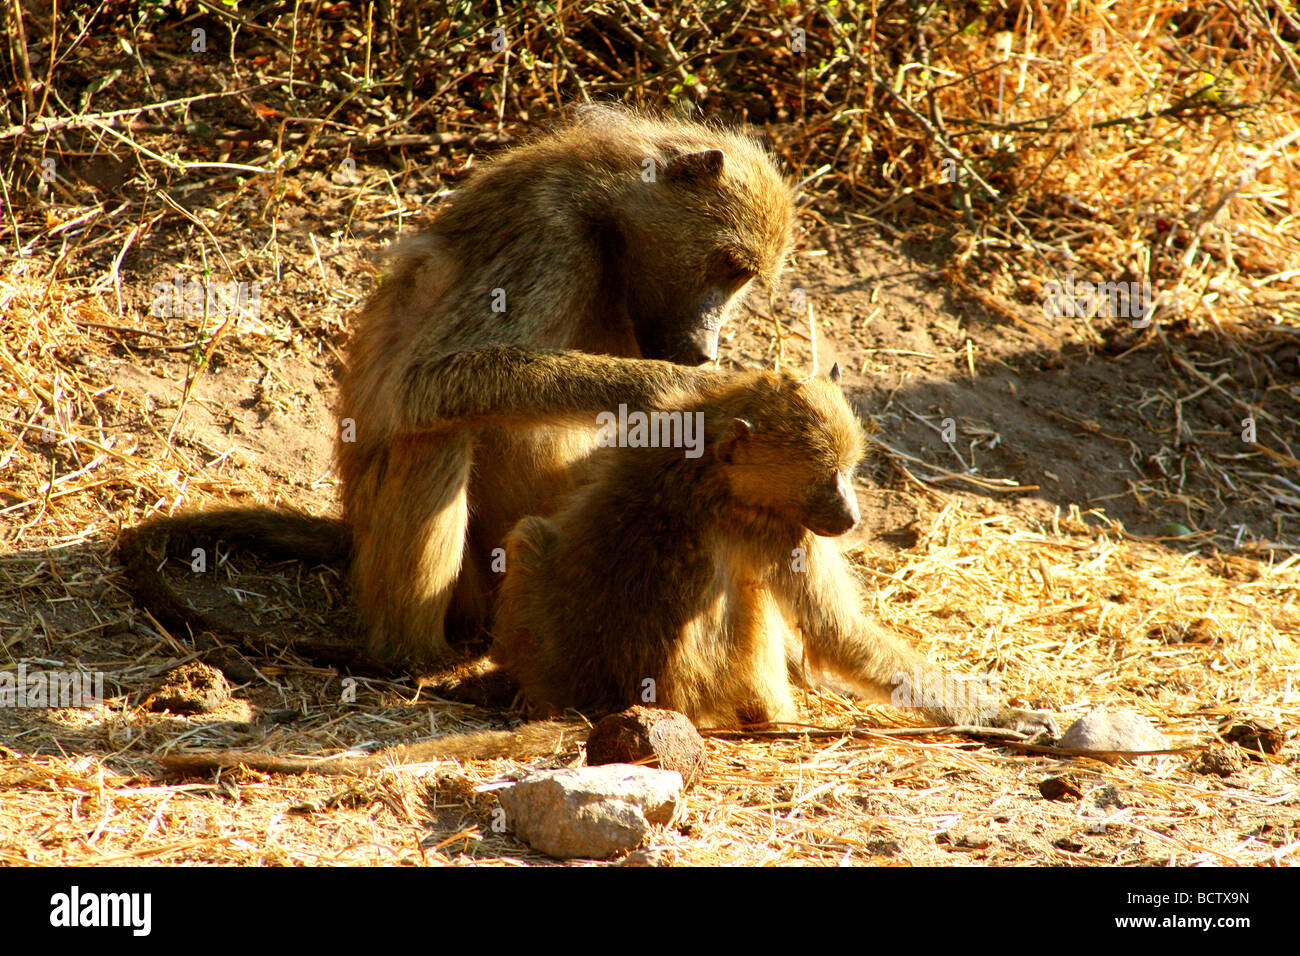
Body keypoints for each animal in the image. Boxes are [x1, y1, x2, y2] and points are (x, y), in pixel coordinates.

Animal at [119, 105, 797, 677]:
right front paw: (695, 388)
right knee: (437, 435)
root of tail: (355, 532)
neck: (608, 221)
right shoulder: (546, 237)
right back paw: (412, 657)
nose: (707, 348)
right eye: (730, 266)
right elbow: (427, 380)